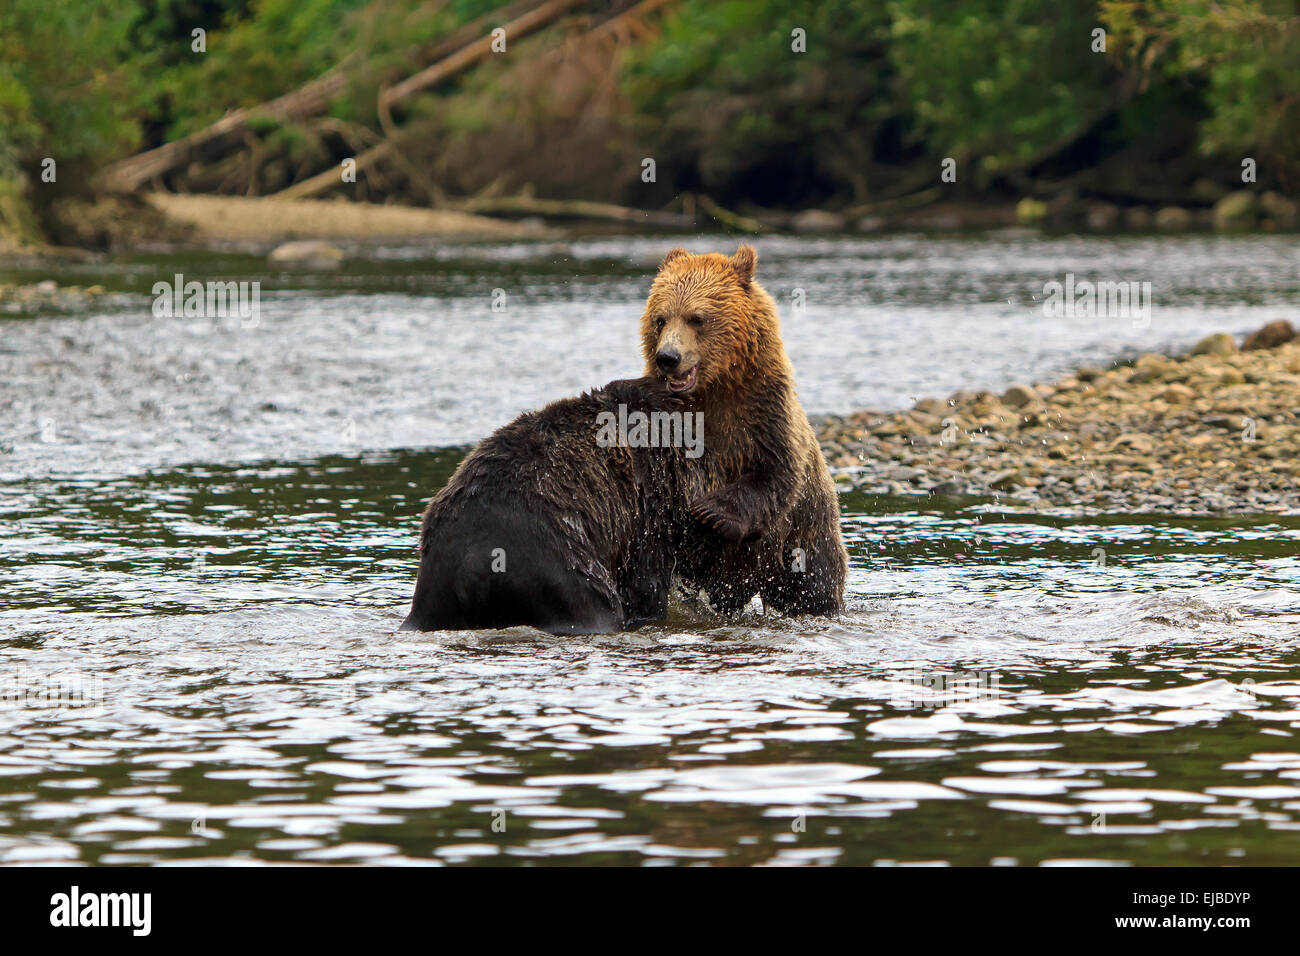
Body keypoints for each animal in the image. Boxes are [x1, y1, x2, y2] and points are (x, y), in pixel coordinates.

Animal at [640, 243, 848, 615]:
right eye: (660, 318)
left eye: (696, 318)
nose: (668, 357)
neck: (715, 389)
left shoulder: (765, 411)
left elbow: (775, 471)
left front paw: (711, 512)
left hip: (809, 533)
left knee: (815, 585)